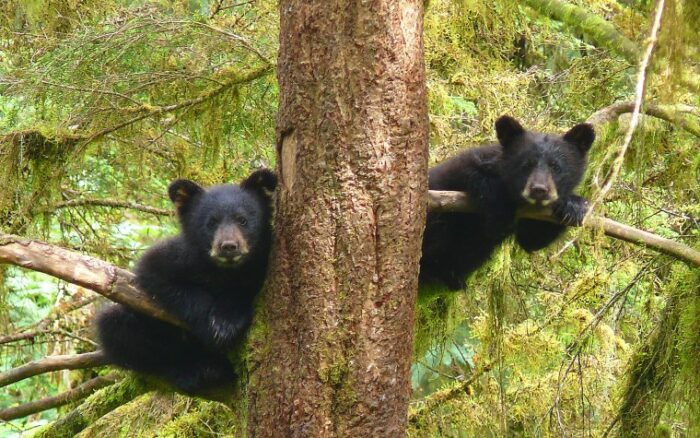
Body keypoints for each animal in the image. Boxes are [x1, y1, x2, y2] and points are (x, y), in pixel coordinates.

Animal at [96, 168, 277, 397]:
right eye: (211, 222)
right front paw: (211, 325)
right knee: (115, 326)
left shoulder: (262, 262)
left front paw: (225, 323)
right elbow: (156, 275)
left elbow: (245, 290)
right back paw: (192, 370)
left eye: (242, 220)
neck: (223, 270)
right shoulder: (179, 258)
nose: (228, 246)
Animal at [420, 116, 594, 291]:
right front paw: (500, 214)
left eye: (556, 167)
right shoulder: (461, 170)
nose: (539, 190)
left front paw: (573, 206)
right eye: (526, 165)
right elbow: (473, 176)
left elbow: (532, 239)